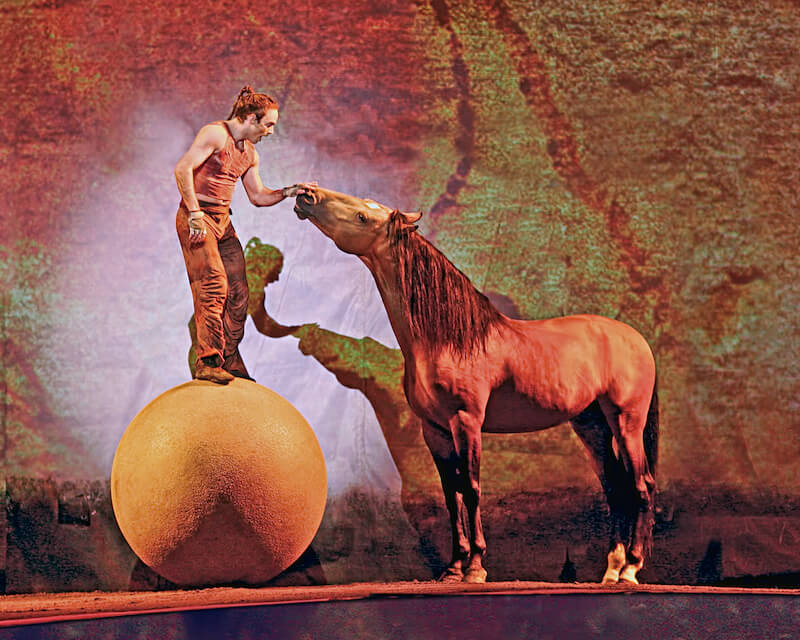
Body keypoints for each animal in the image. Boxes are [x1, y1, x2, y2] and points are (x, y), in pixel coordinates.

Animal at [294, 186, 659, 585]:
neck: (448, 339)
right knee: (616, 488)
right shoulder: (434, 429)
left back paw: (631, 569)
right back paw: (611, 570)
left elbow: (470, 489)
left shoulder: (466, 422)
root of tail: (636, 339)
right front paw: (454, 567)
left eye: (363, 217)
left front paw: (476, 567)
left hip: (626, 421)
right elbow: (450, 495)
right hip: (591, 425)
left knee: (641, 485)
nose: (307, 194)